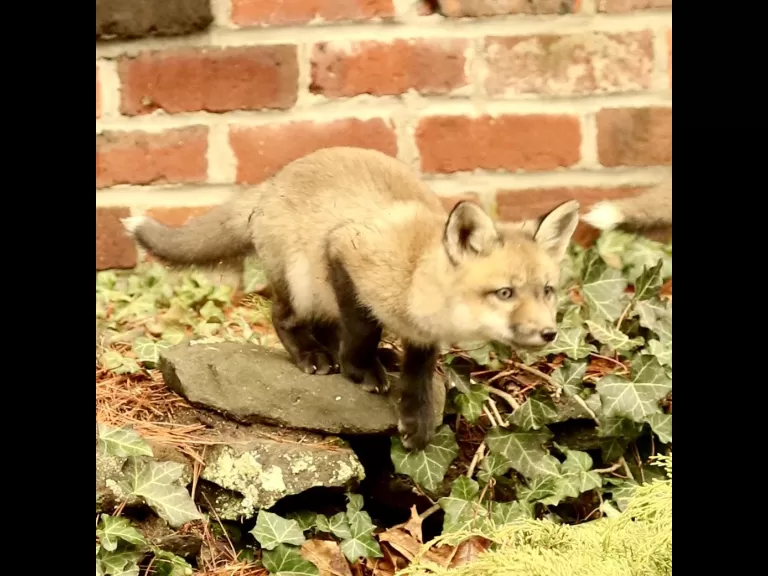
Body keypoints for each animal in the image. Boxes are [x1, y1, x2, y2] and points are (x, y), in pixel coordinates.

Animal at [121, 147, 580, 451]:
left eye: (547, 290)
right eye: (505, 293)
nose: (549, 333)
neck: (414, 272)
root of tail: (273, 181)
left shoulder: (423, 333)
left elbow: (418, 370)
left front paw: (415, 415)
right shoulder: (344, 251)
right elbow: (363, 327)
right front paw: (361, 370)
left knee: (326, 326)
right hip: (301, 281)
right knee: (284, 317)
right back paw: (315, 356)